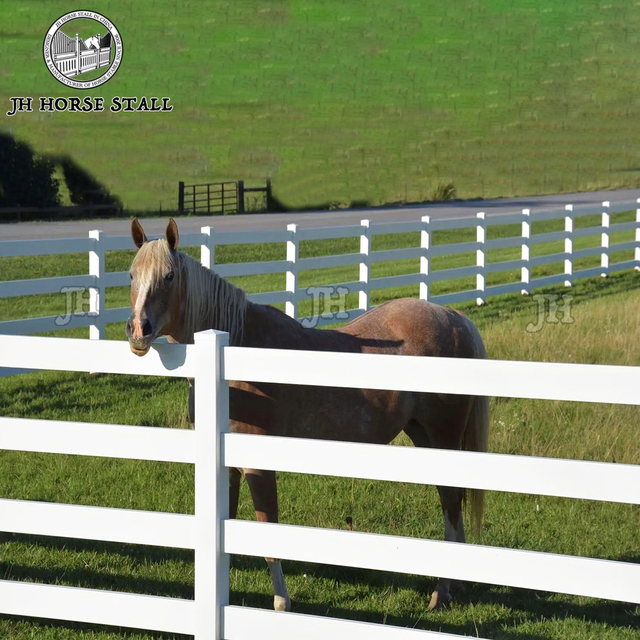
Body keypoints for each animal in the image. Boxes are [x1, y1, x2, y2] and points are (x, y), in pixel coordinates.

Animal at [125, 218, 490, 612]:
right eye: (131, 274)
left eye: (169, 276)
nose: (139, 330)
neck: (235, 350)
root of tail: (454, 319)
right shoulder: (229, 468)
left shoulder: (258, 466)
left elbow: (267, 531)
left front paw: (281, 602)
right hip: (424, 435)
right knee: (452, 500)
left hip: (443, 435)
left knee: (451, 503)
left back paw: (441, 591)